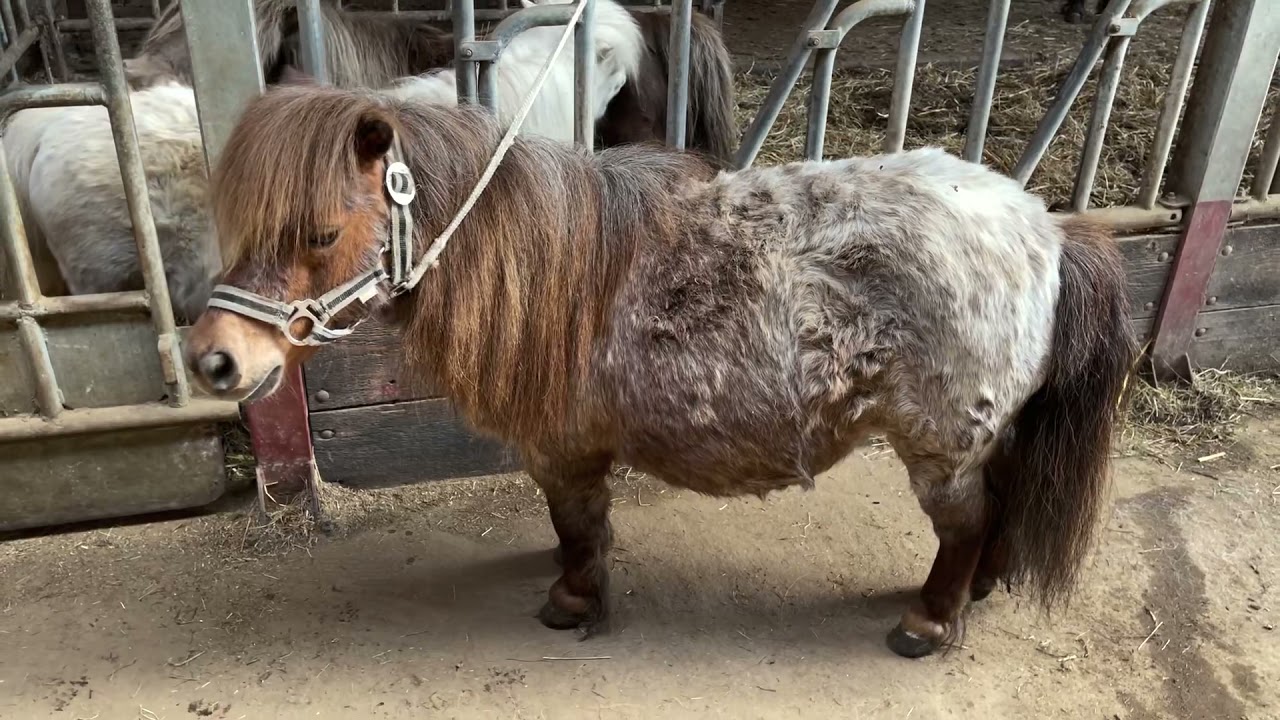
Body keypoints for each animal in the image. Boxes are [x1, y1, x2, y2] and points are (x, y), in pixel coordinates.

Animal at [183, 83, 1137, 658]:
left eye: (318, 231)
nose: (213, 358)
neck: (552, 270)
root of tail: (1045, 229)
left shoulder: (563, 452)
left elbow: (576, 528)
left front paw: (573, 601)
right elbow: (580, 525)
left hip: (941, 443)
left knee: (967, 521)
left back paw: (931, 620)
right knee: (1000, 507)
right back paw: (979, 591)